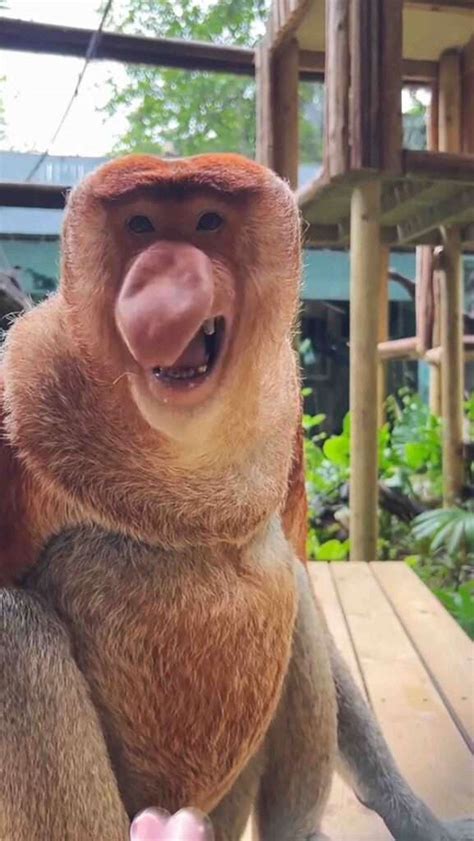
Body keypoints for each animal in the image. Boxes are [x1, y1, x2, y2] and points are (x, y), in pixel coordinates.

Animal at [0, 154, 472, 841]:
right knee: (15, 631)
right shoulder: (21, 389)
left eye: (207, 222)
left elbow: (299, 574)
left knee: (287, 580)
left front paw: (415, 817)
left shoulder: (284, 406)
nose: (166, 275)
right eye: (141, 225)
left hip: (230, 800)